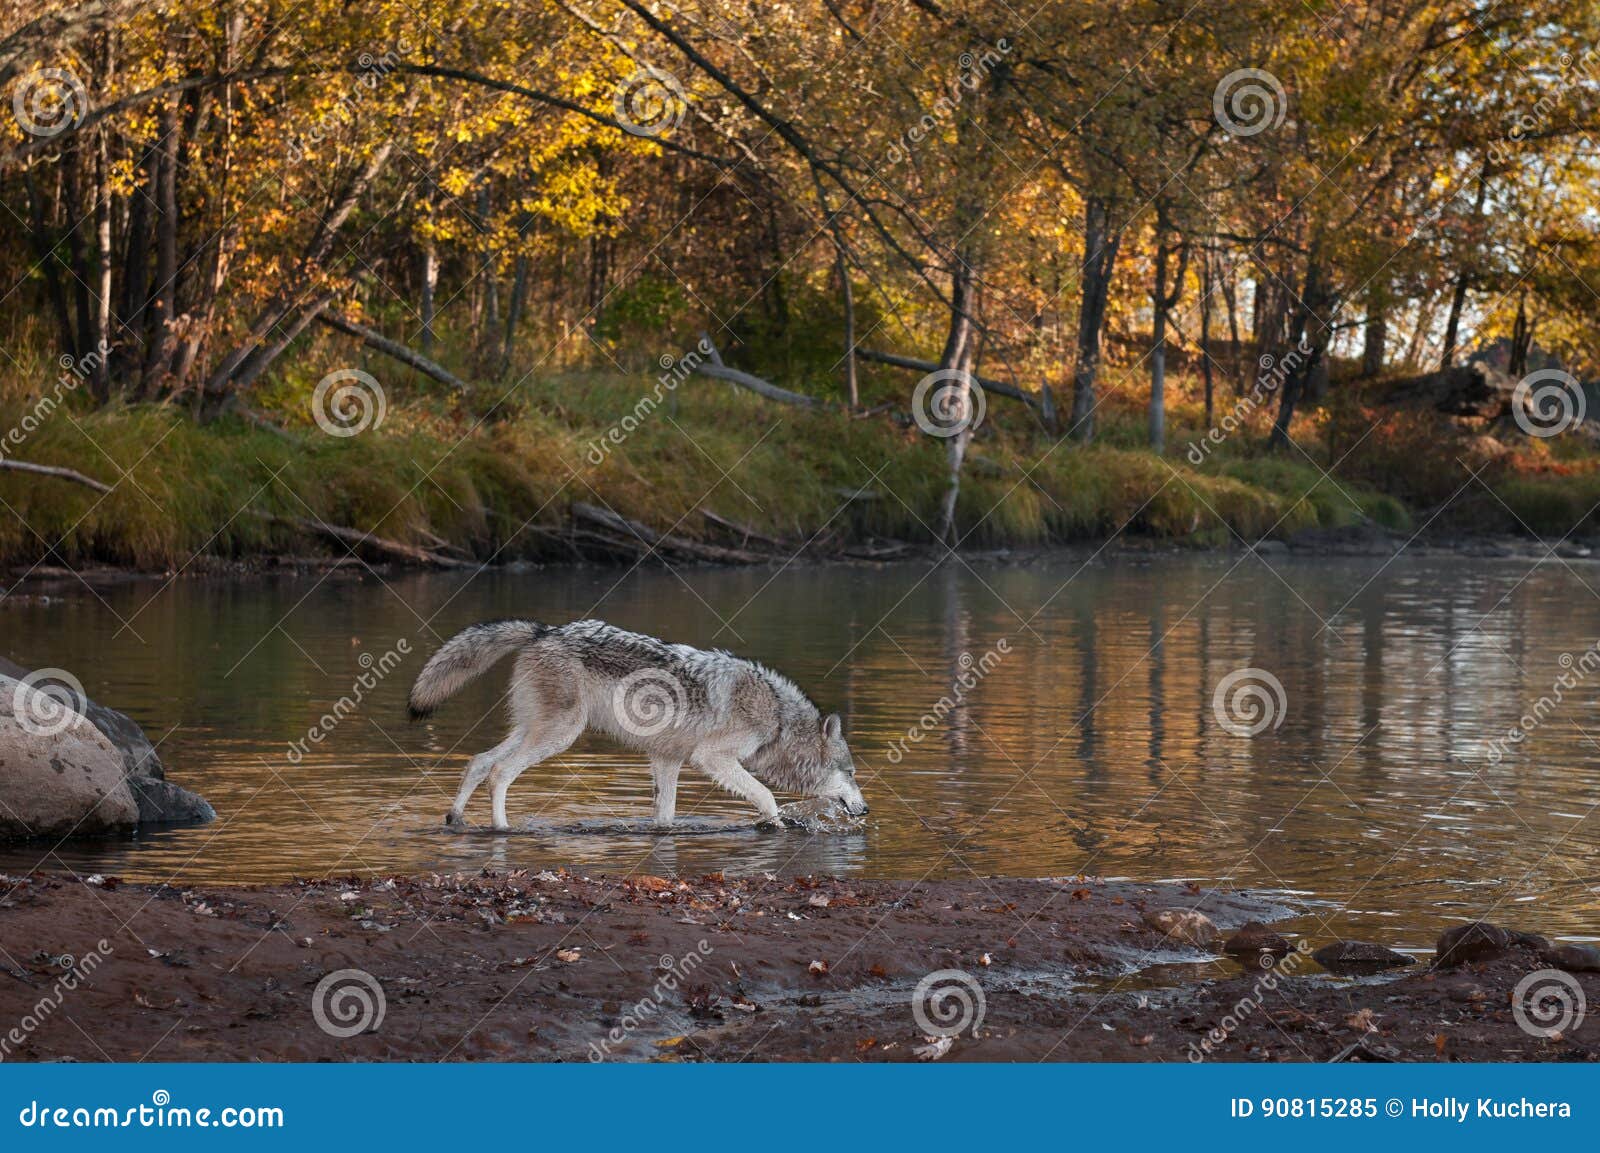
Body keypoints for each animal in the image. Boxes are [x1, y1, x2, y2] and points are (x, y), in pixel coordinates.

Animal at [408, 618, 868, 831]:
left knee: (479, 761)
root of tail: (544, 630)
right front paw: (774, 825)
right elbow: (766, 796)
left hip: (532, 729)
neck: (777, 717)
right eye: (850, 773)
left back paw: (455, 818)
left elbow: (665, 816)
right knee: (500, 771)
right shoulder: (711, 758)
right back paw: (503, 829)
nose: (866, 810)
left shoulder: (667, 760)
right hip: (558, 736)